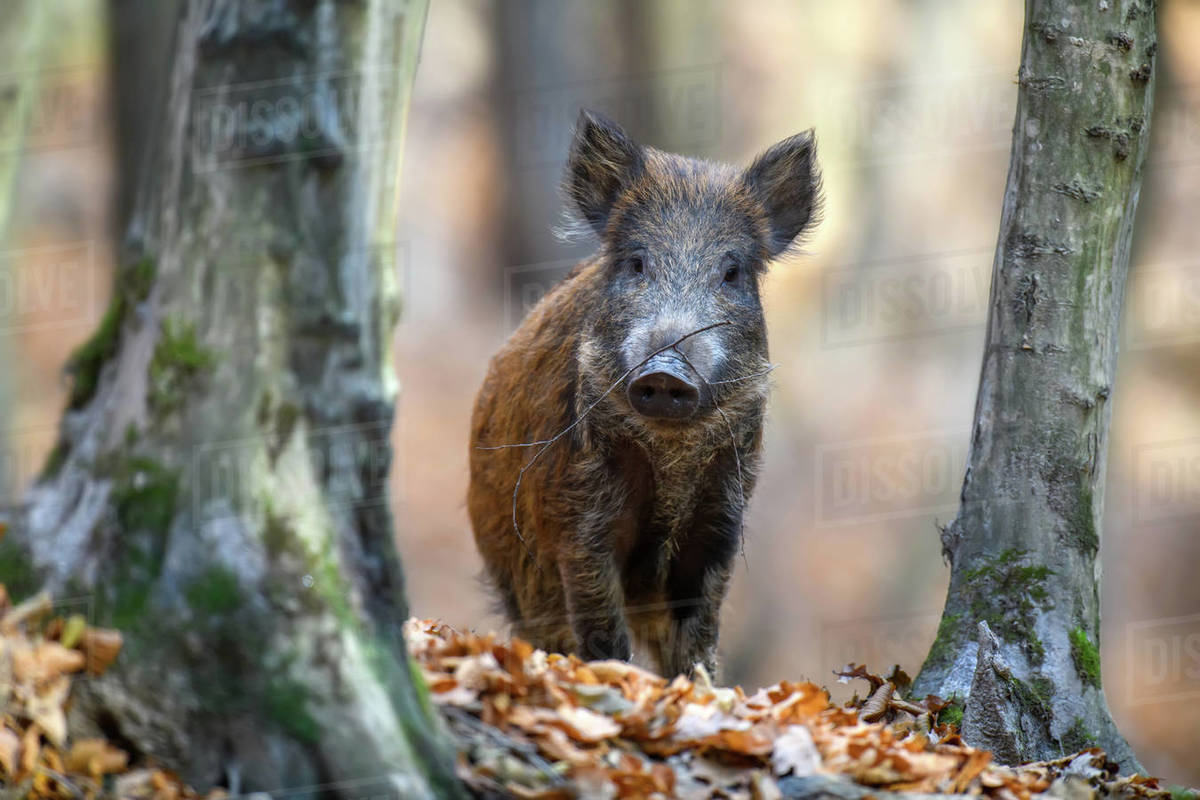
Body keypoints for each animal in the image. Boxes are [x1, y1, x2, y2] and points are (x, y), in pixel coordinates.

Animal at [468, 110, 820, 678]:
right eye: (636, 262)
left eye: (732, 272)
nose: (666, 371)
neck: (669, 459)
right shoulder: (578, 520)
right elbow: (601, 631)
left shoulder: (720, 522)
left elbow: (699, 637)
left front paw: (701, 686)